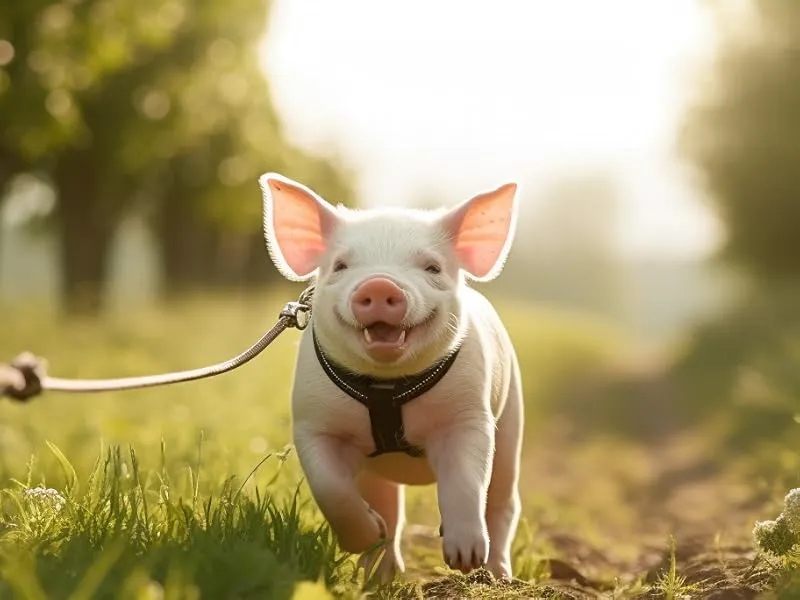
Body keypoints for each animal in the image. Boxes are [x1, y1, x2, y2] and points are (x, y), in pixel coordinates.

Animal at [259, 172, 524, 582]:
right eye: (340, 265)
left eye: (432, 268)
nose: (379, 284)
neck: (386, 385)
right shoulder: (312, 424)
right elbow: (330, 488)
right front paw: (367, 536)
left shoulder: (469, 416)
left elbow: (465, 481)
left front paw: (464, 558)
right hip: (377, 472)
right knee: (390, 508)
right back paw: (380, 575)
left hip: (511, 423)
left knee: (503, 502)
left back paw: (496, 575)